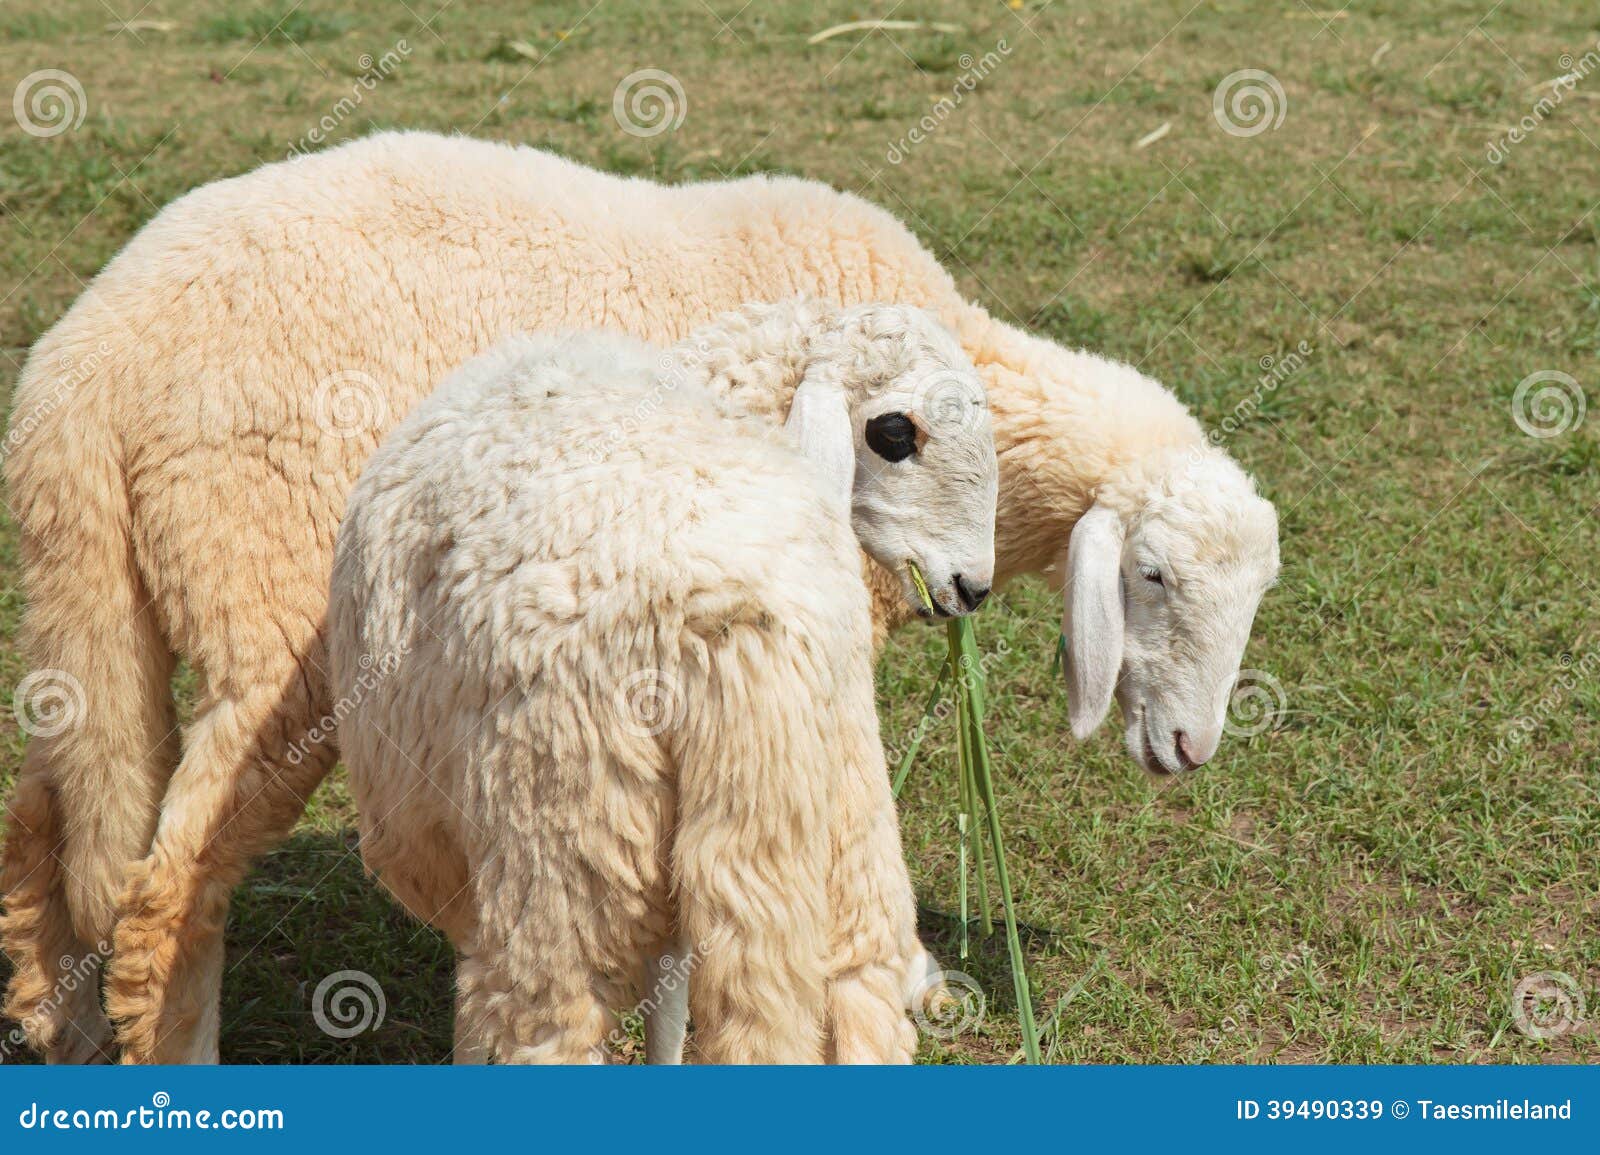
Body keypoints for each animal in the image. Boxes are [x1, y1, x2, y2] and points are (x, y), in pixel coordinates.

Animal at [332, 301, 991, 1062]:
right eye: (894, 433)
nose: (975, 588)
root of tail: (724, 616)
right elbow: (672, 987)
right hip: (838, 815)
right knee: (859, 1000)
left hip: (561, 840)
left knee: (544, 1028)